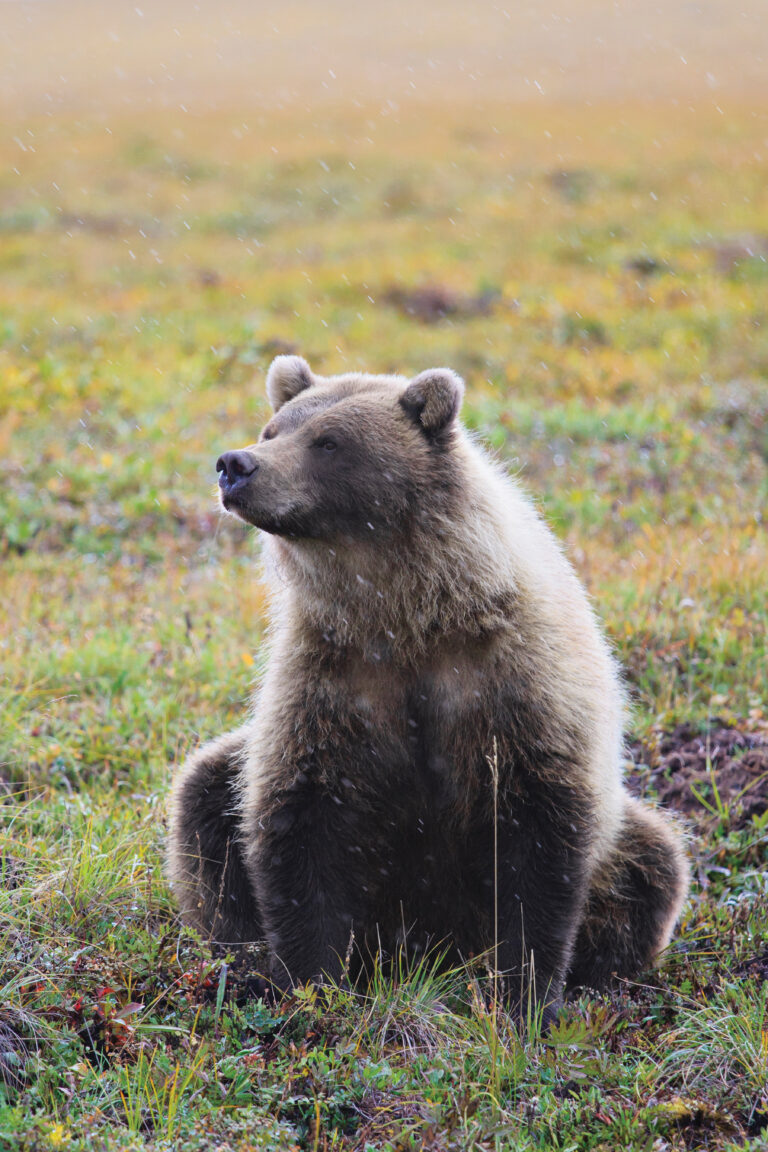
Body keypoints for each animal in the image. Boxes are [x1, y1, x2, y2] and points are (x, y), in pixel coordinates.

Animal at [167, 355, 689, 1023]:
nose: (235, 464)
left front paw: (524, 996)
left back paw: (601, 981)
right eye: (272, 429)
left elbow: (539, 841)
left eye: (328, 441)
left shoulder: (515, 681)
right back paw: (244, 963)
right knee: (205, 798)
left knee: (652, 863)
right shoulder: (331, 680)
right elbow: (298, 820)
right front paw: (308, 987)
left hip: (622, 837)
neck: (408, 614)